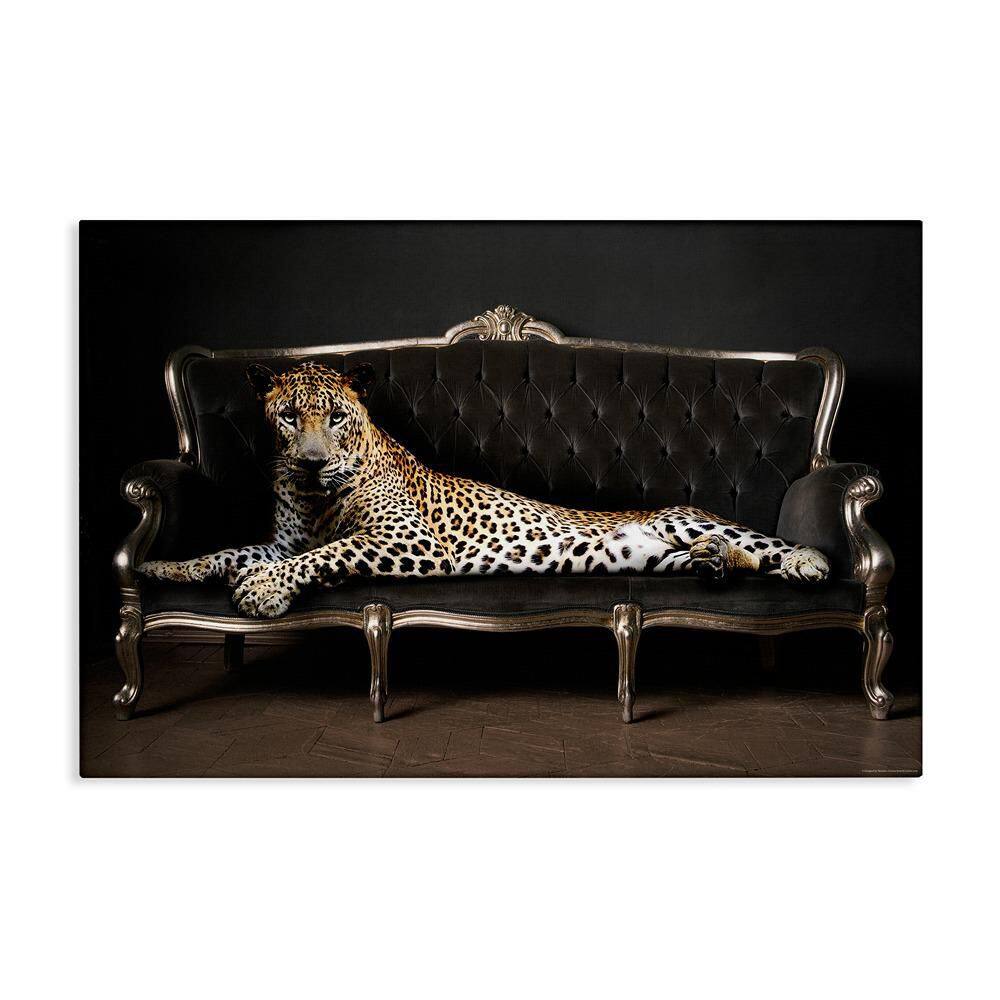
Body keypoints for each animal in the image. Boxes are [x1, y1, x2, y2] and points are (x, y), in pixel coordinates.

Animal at [140, 360, 831, 618]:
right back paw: (716, 565)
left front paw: (261, 591)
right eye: (288, 418)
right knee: (720, 558)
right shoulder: (282, 541)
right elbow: (231, 550)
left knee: (758, 544)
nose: (310, 463)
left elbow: (328, 554)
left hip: (685, 518)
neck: (316, 498)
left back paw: (804, 561)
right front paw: (166, 567)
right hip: (659, 556)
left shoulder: (410, 541)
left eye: (335, 418)